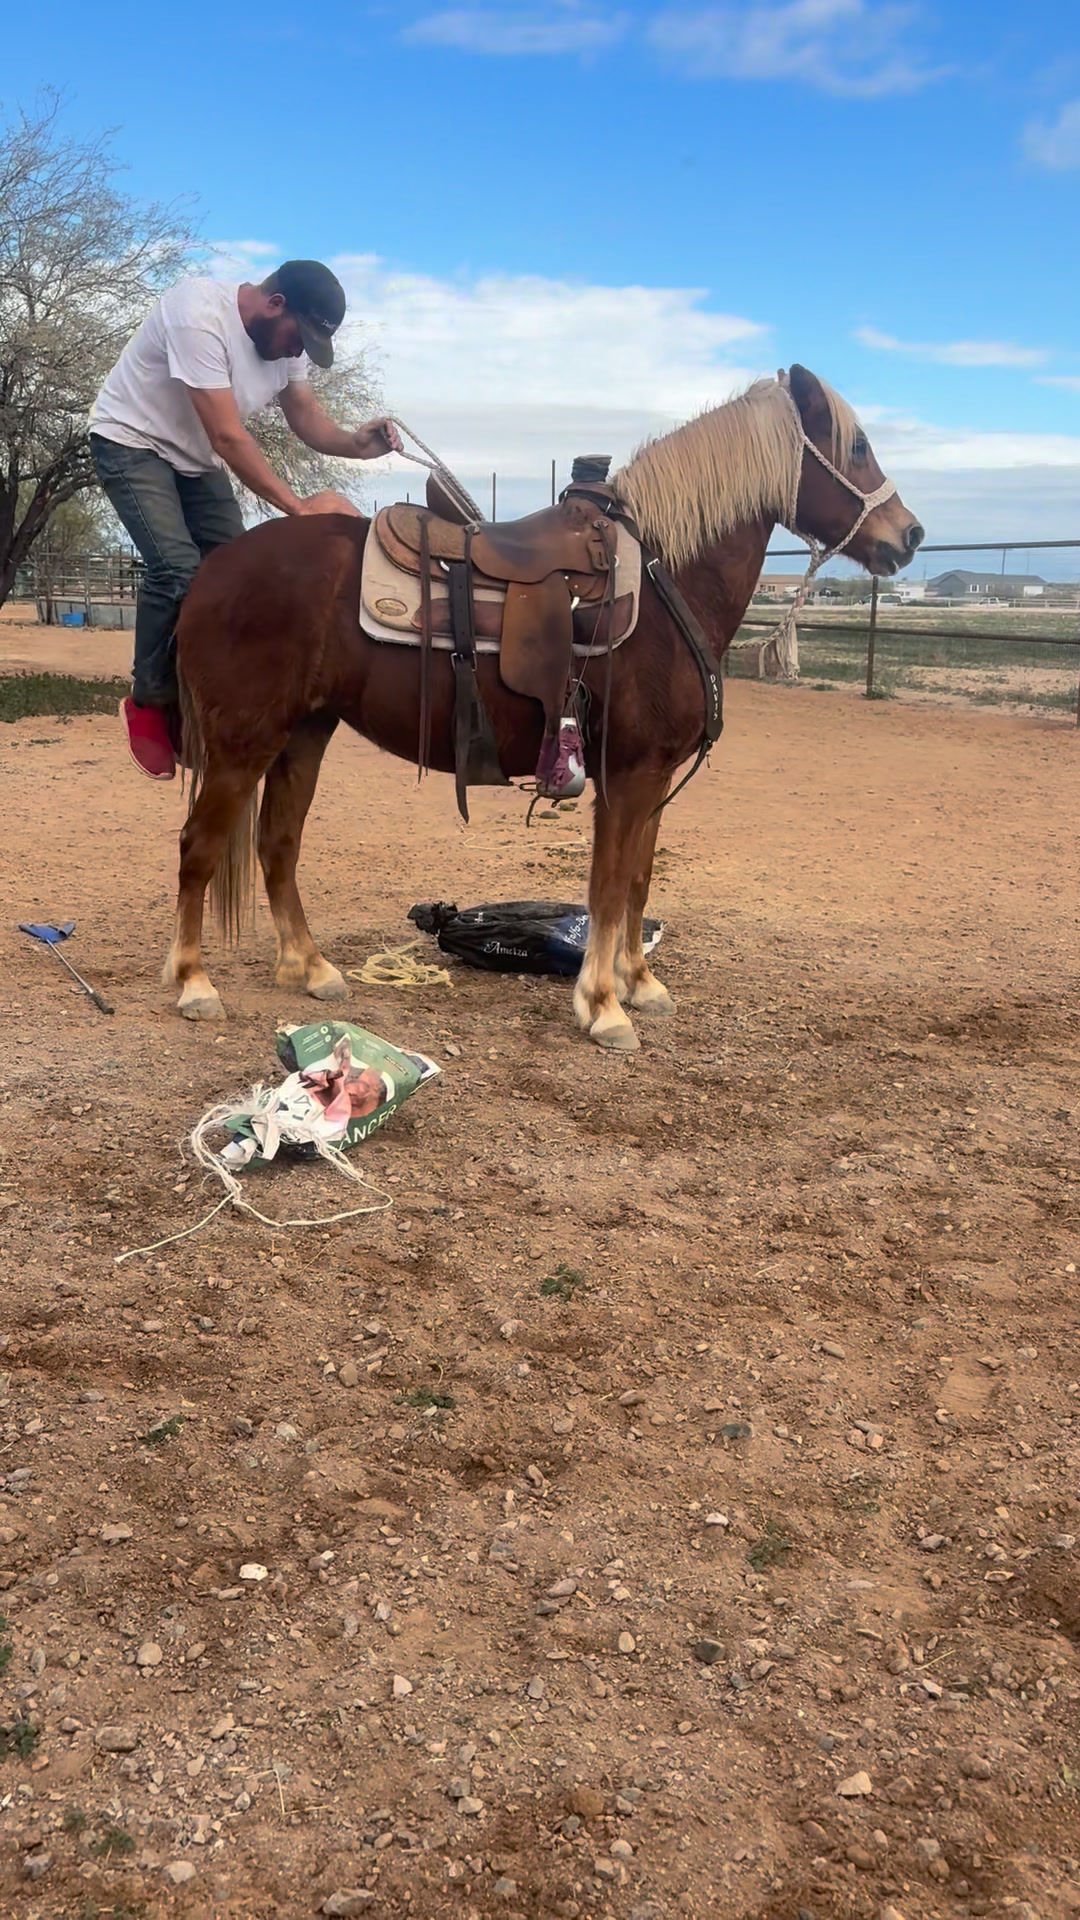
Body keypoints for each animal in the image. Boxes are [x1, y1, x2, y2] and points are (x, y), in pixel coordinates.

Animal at [166, 365, 923, 1050]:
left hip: (304, 734)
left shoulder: (649, 779)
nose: (910, 534)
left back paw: (310, 967)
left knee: (277, 844)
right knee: (199, 847)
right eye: (857, 446)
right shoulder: (629, 775)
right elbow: (608, 887)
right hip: (243, 742)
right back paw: (194, 983)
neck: (666, 581)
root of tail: (215, 570)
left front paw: (640, 983)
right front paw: (603, 1006)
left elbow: (639, 880)